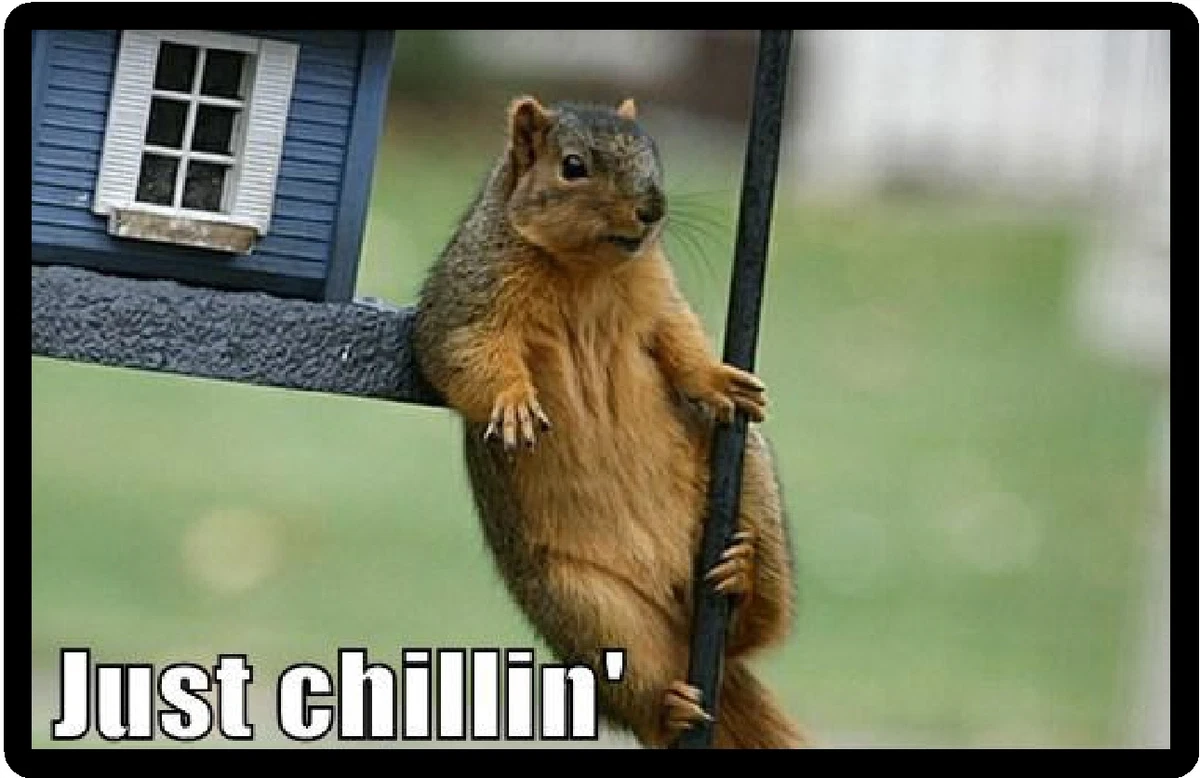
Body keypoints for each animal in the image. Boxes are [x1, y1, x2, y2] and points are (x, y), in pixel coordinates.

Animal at [413, 96, 805, 749]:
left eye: (654, 152)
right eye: (573, 166)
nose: (653, 210)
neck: (585, 271)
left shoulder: (659, 298)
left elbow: (680, 338)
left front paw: (716, 378)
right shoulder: (467, 301)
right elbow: (468, 353)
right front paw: (512, 402)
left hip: (749, 483)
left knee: (756, 629)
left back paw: (744, 577)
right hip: (587, 610)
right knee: (635, 696)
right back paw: (669, 710)